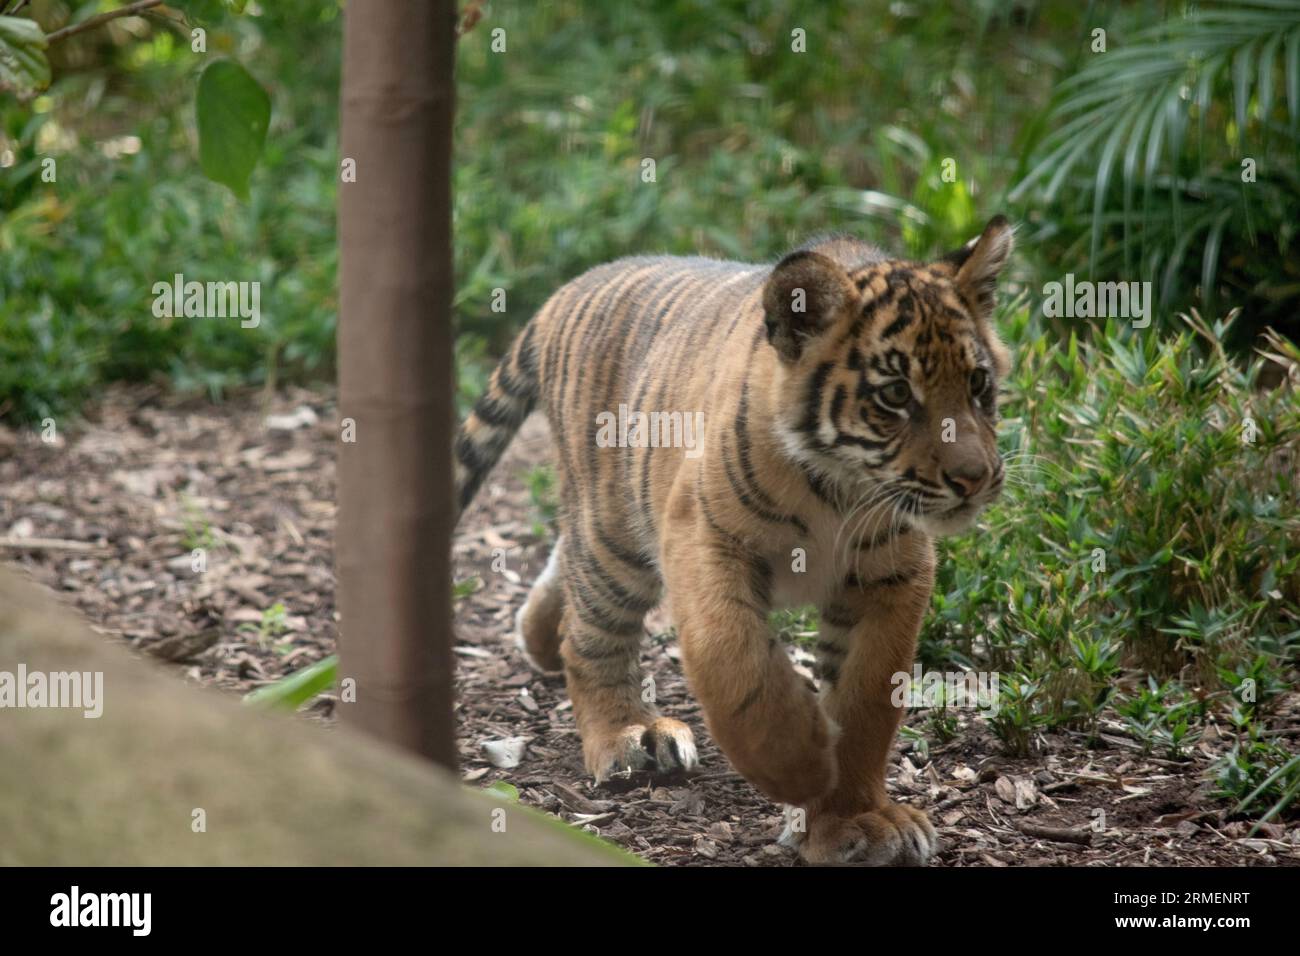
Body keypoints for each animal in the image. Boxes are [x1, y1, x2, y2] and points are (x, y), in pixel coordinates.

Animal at [453, 216, 1014, 865]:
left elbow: (867, 699)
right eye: (896, 394)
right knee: (588, 631)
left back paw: (539, 637)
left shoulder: (891, 574)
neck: (841, 489)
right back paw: (626, 735)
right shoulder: (702, 536)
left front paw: (855, 820)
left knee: (561, 574)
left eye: (978, 383)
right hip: (615, 534)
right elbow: (735, 663)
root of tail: (566, 290)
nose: (974, 478)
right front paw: (799, 766)